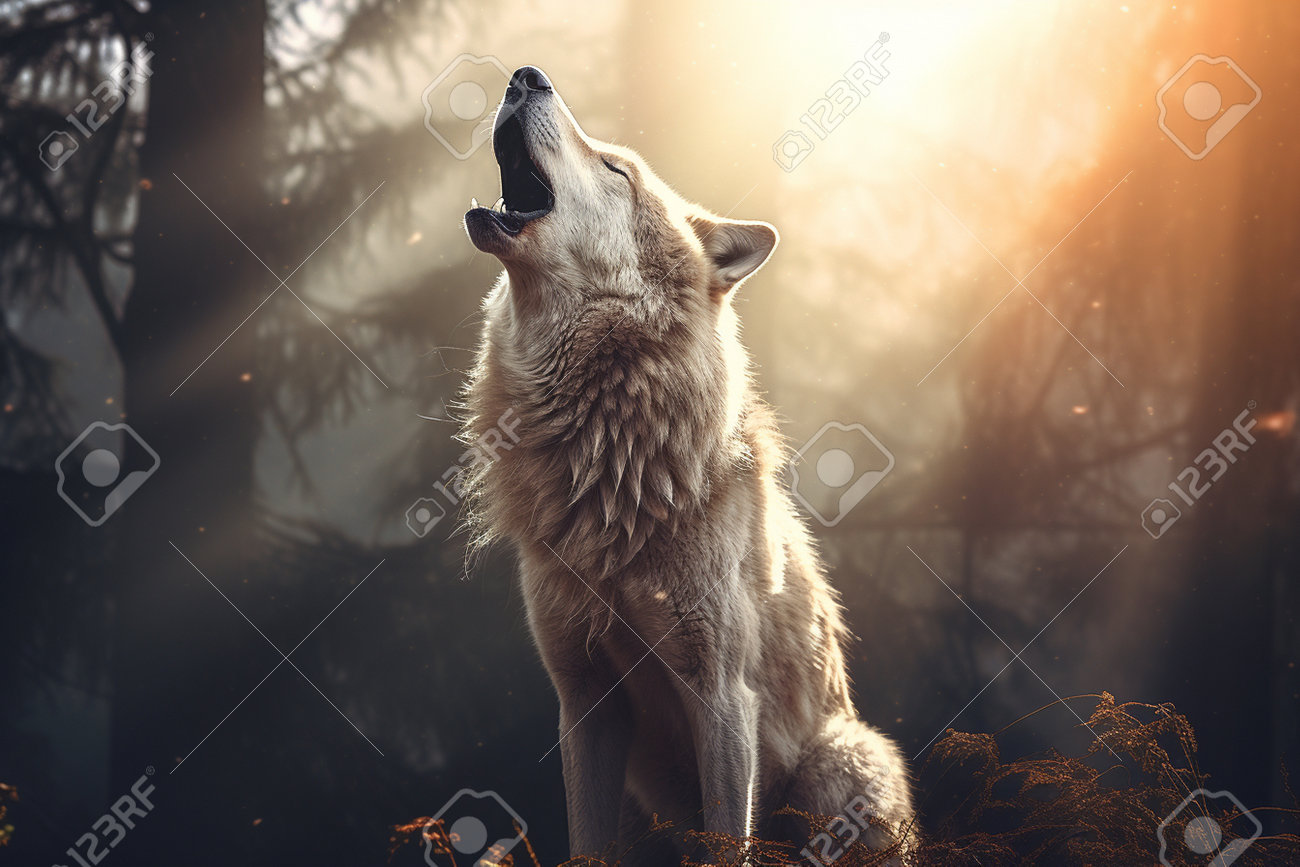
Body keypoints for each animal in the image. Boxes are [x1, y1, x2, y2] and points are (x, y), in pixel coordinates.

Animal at [459, 66, 914, 862]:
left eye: (616, 169)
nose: (524, 76)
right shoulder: (583, 703)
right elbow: (586, 839)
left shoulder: (722, 694)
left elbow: (725, 839)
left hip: (838, 764)